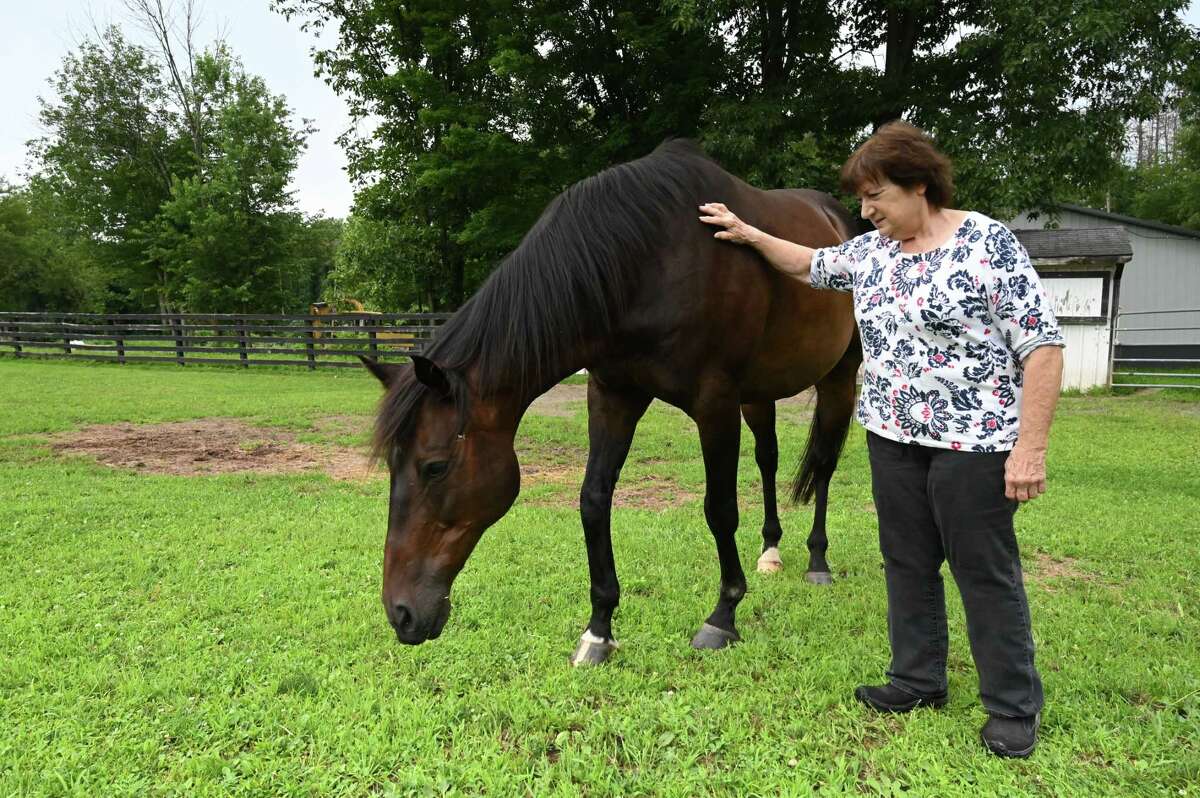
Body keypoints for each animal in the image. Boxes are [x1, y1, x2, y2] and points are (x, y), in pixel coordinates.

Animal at [362, 140, 860, 665]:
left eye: (434, 467)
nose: (401, 614)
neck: (646, 263)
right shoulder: (613, 395)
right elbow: (593, 500)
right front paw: (599, 629)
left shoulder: (715, 403)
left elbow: (720, 507)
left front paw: (722, 617)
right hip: (759, 395)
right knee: (768, 459)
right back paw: (770, 551)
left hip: (837, 378)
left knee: (823, 463)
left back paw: (818, 559)